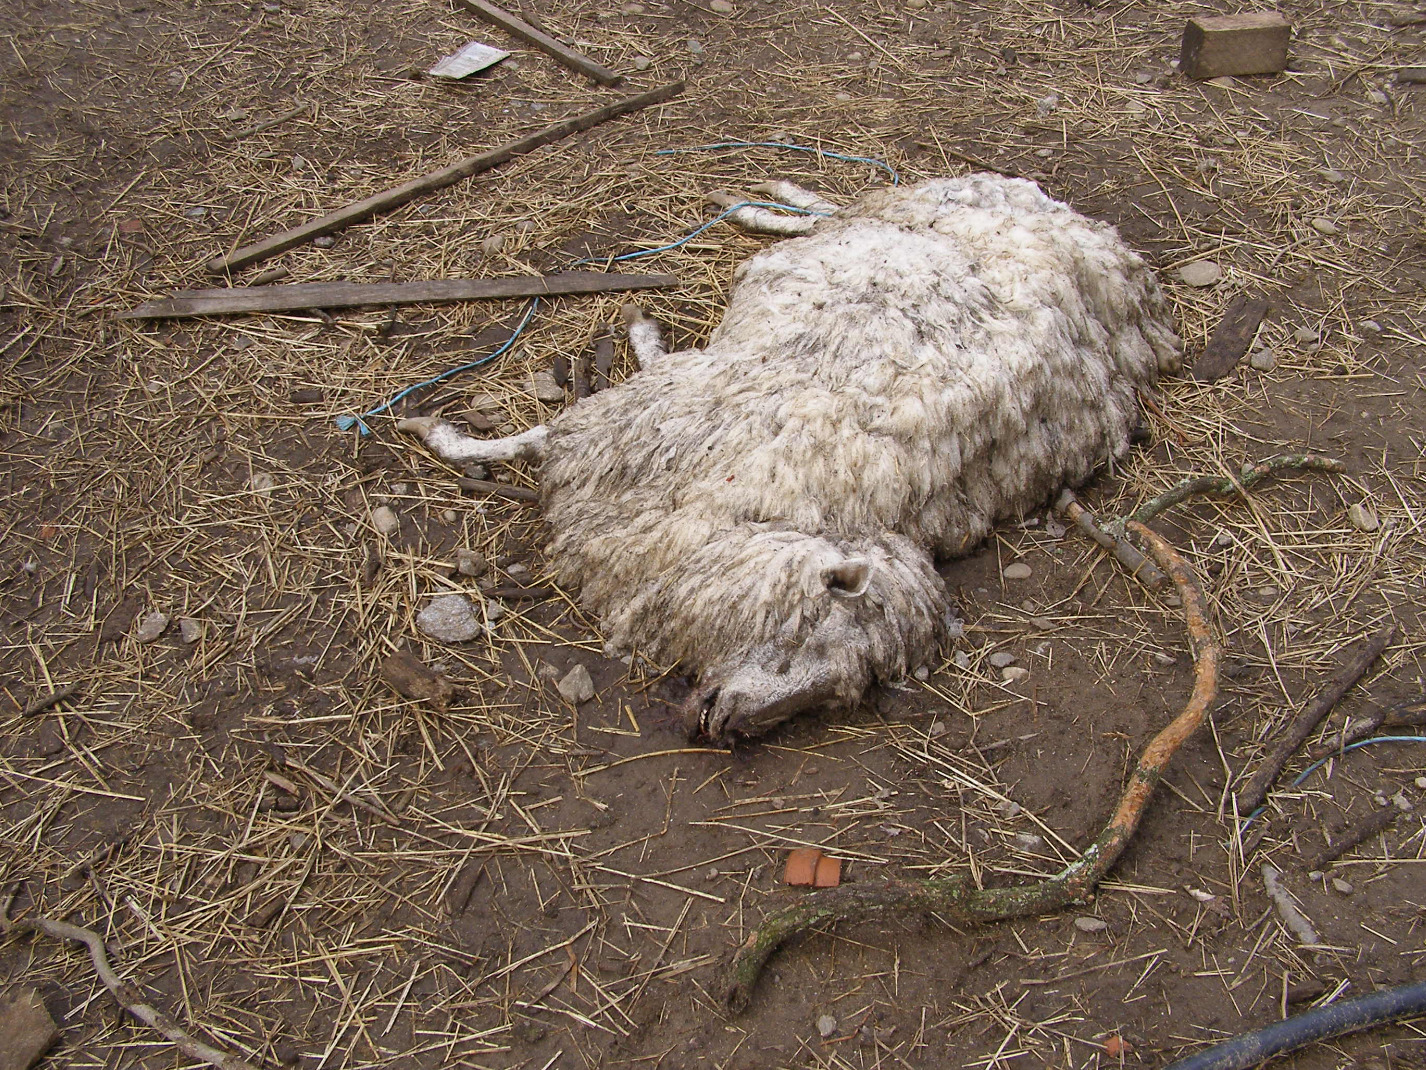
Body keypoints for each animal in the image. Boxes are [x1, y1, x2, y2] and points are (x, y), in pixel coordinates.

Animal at [400, 173, 1182, 743]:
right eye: (817, 628)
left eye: (839, 687)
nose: (728, 729)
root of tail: (1069, 217)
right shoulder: (634, 425)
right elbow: (527, 436)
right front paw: (434, 431)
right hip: (906, 207)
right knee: (836, 209)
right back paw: (765, 200)